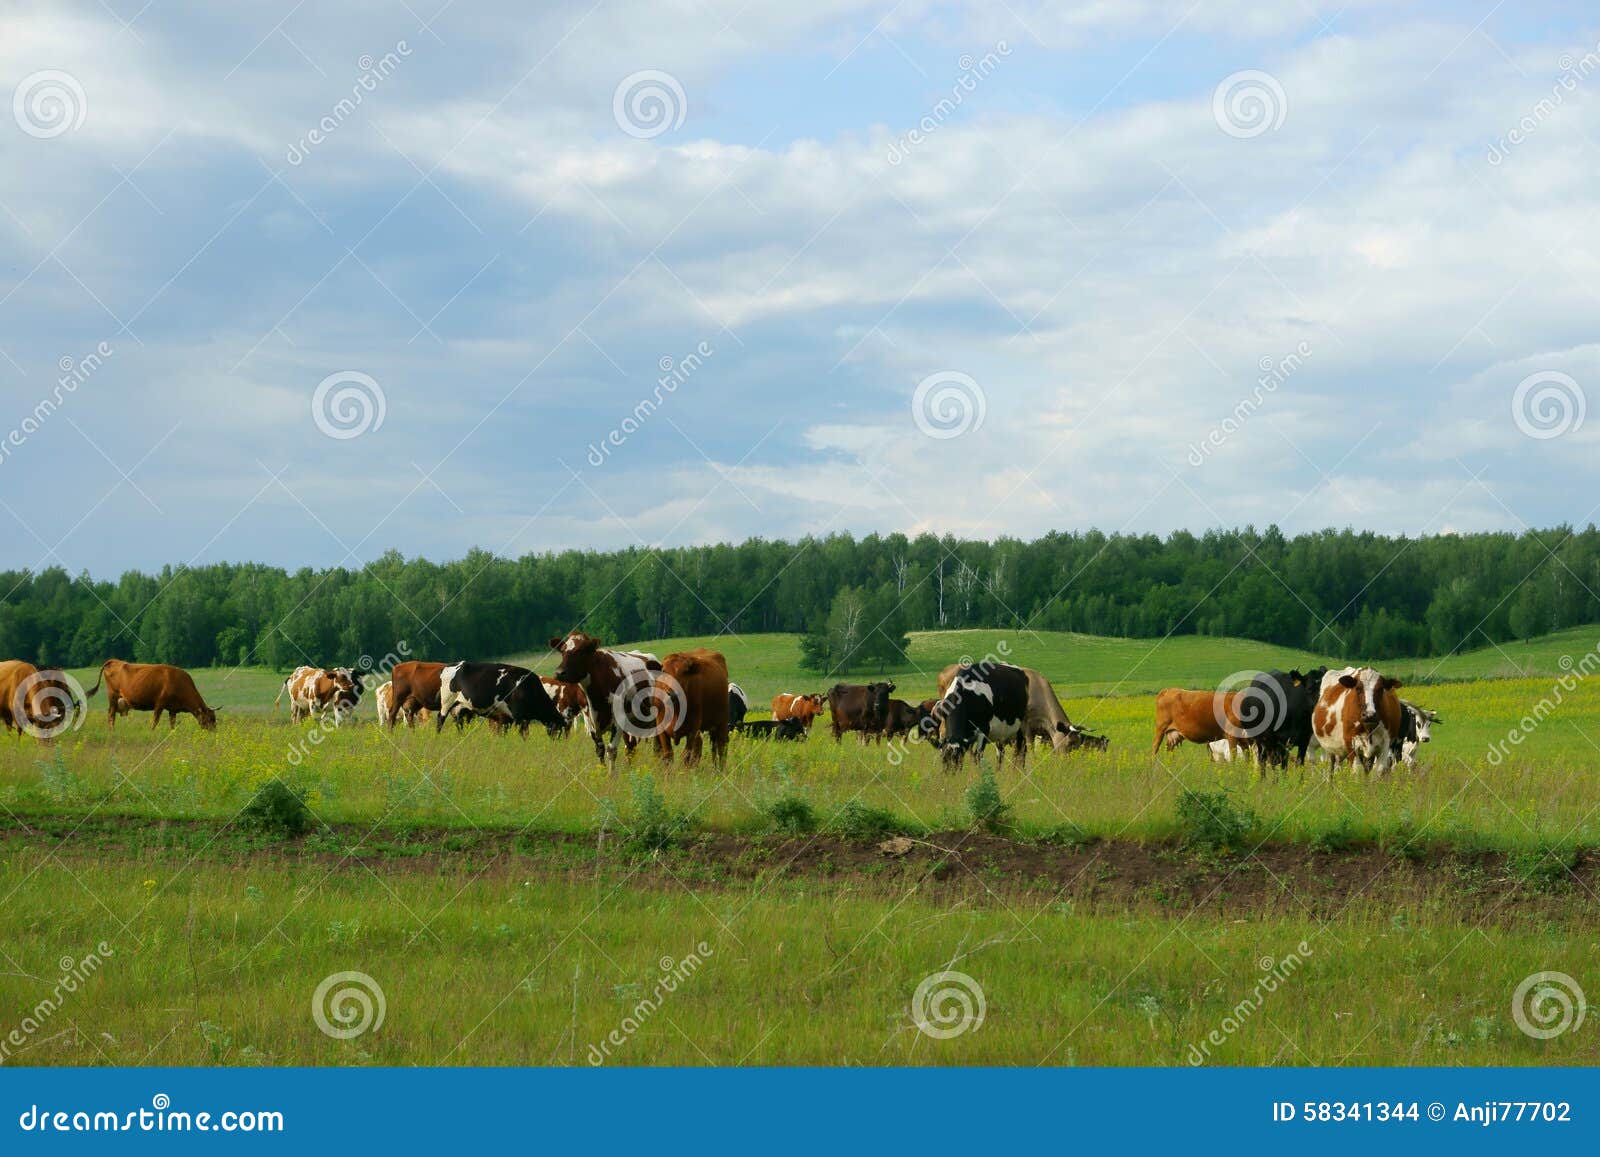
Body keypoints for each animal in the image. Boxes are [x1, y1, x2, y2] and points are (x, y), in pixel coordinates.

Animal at [86, 660, 217, 730]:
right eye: (210, 718)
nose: (214, 731)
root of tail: (114, 661)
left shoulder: (173, 709)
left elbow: (172, 724)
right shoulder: (159, 704)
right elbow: (154, 721)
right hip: (113, 697)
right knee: (111, 715)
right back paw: (112, 731)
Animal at [549, 631, 666, 766]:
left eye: (581, 651)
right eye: (562, 651)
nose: (559, 673)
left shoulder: (619, 719)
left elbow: (611, 750)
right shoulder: (591, 721)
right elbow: (600, 749)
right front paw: (603, 768)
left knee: (656, 745)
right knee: (630, 747)